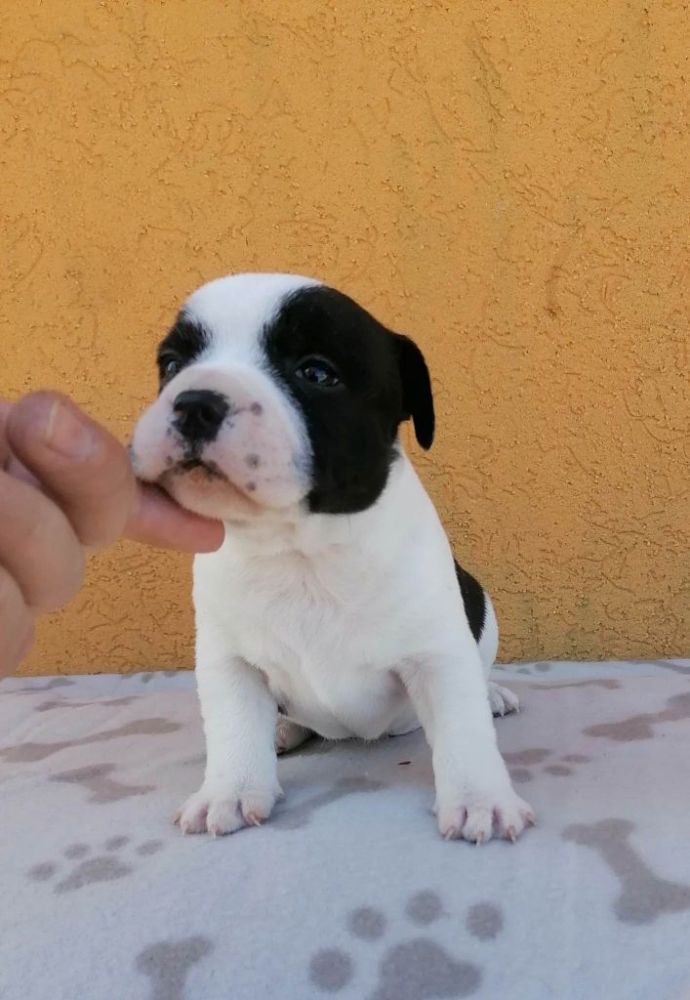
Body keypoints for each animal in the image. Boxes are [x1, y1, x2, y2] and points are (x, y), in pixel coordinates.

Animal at [133, 274, 532, 844]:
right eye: (170, 365)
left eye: (317, 373)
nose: (194, 402)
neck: (298, 548)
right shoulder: (228, 660)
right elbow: (234, 724)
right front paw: (229, 790)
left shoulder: (437, 655)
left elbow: (463, 730)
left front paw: (482, 800)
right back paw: (281, 729)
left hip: (479, 603)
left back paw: (493, 693)